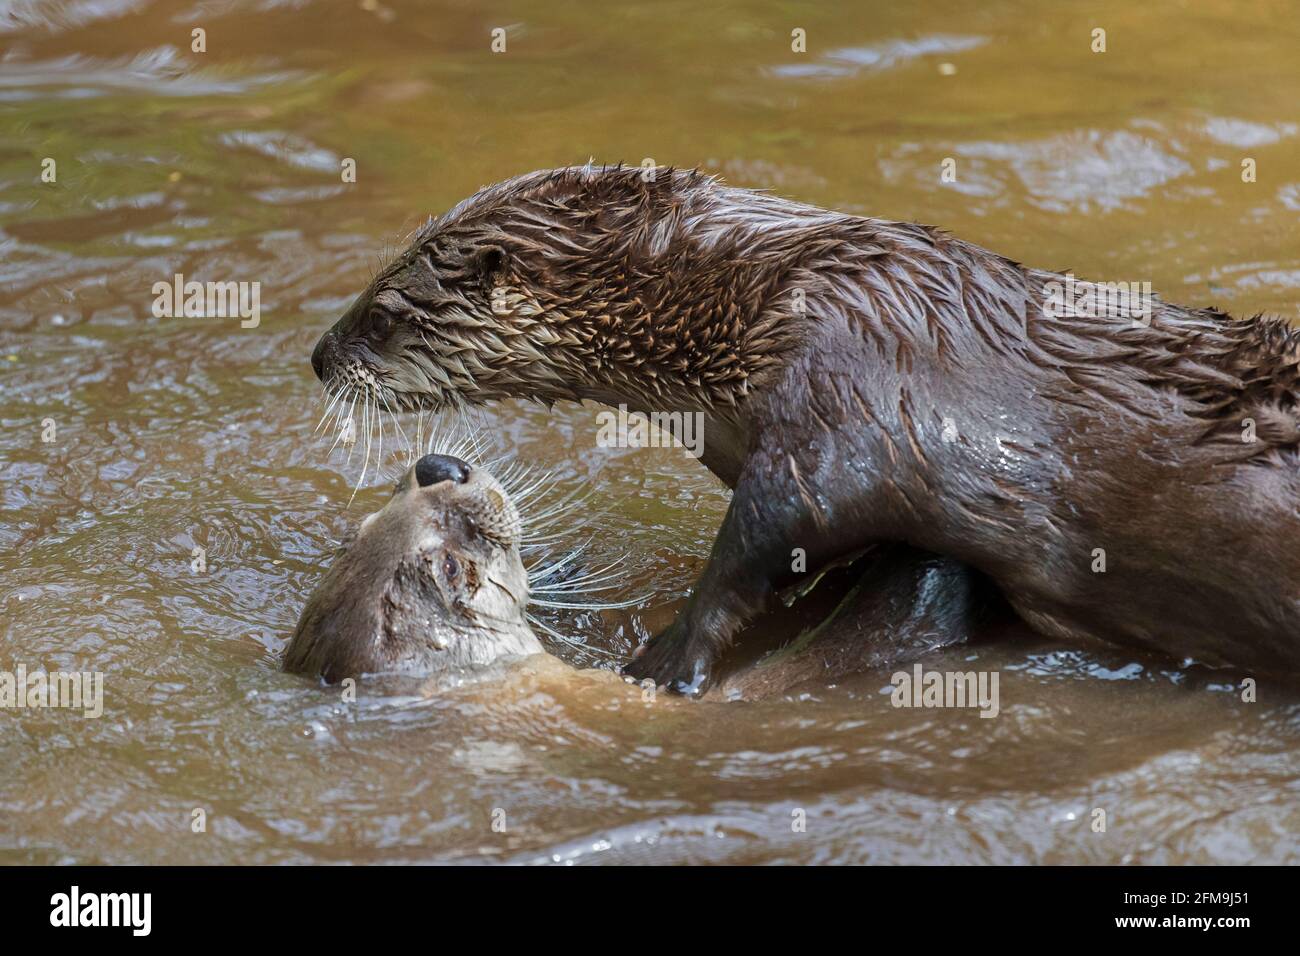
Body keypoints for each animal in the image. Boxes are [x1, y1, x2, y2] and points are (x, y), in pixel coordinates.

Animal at [310, 164, 1300, 694]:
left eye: (384, 310)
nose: (319, 356)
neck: (745, 310)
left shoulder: (848, 388)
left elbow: (769, 534)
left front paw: (668, 658)